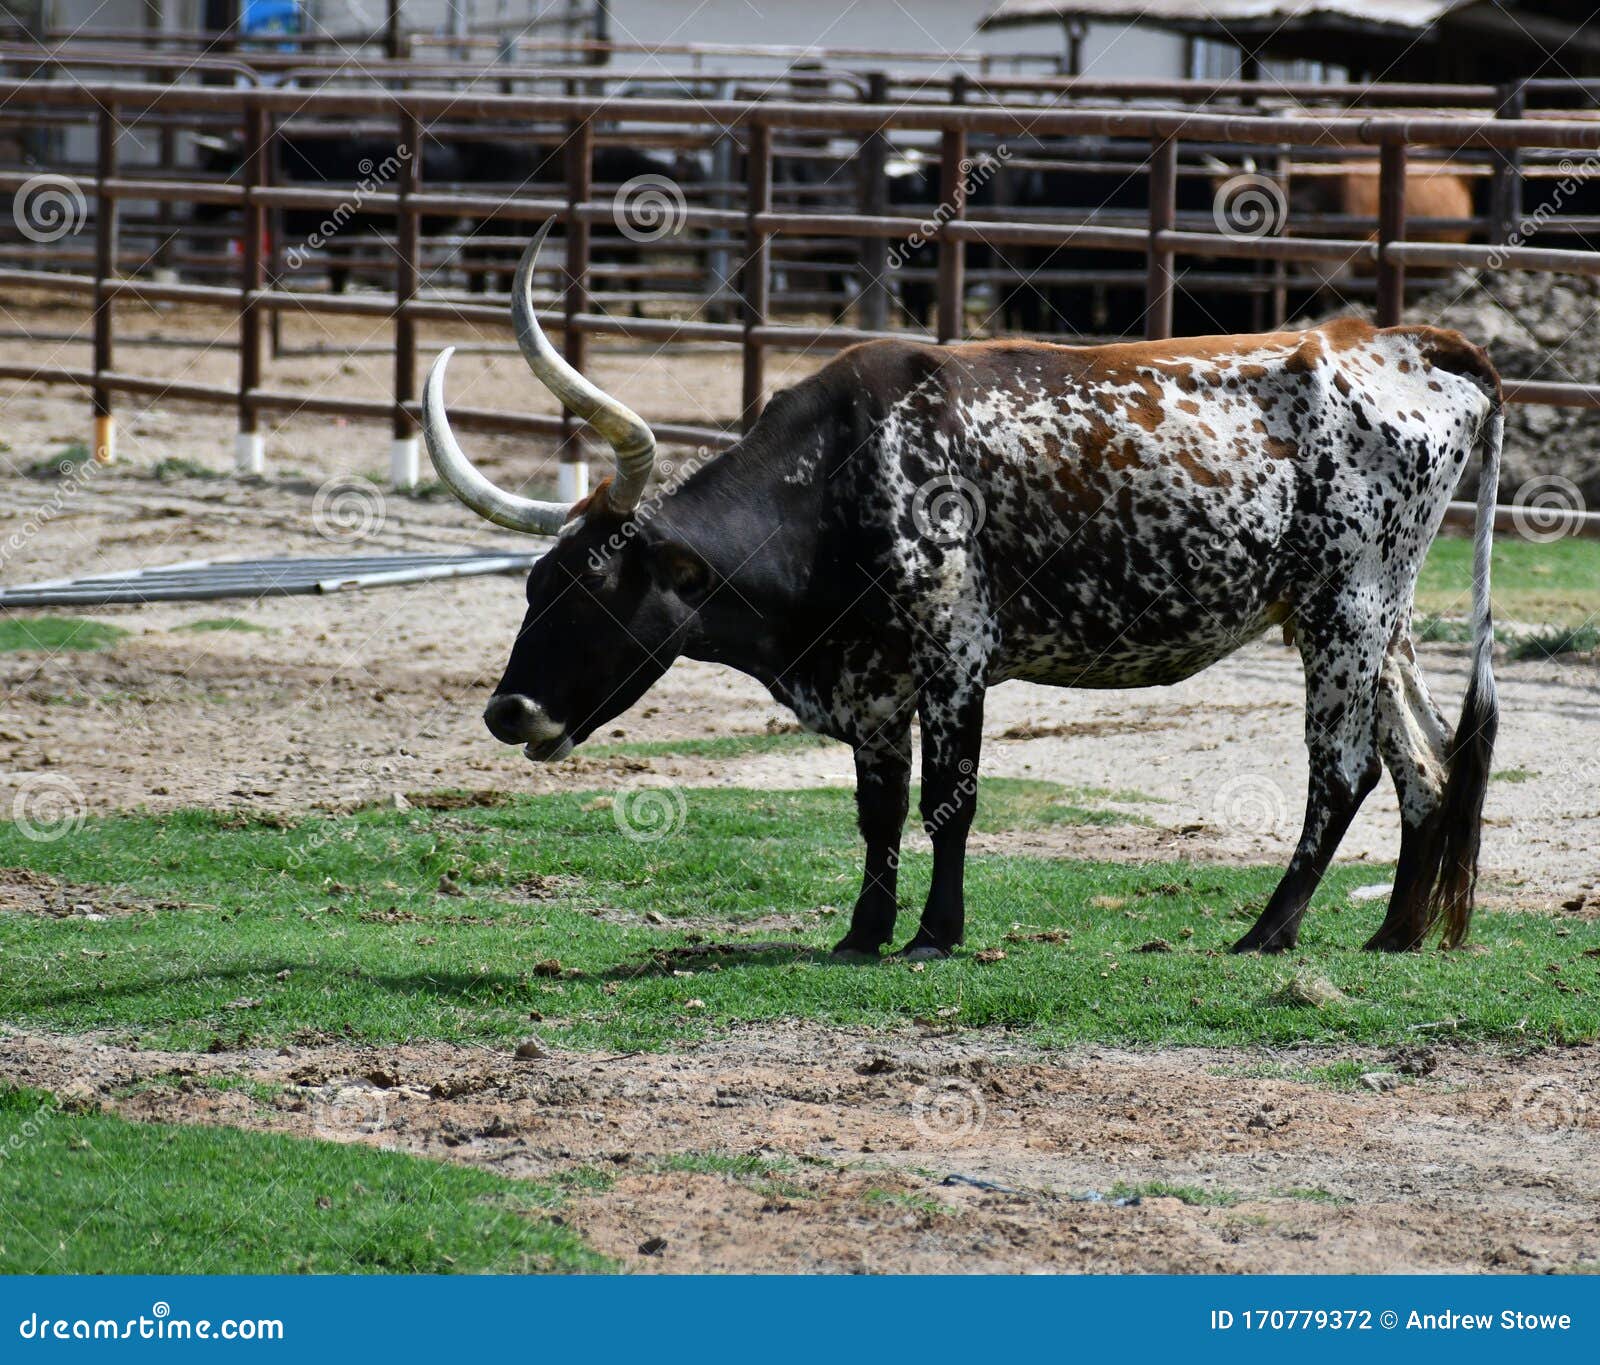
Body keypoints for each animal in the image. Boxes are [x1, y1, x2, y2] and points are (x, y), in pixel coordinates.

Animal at [423, 222, 1502, 960]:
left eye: (601, 588)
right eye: (535, 586)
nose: (508, 712)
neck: (844, 472)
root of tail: (1399, 343)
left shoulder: (954, 655)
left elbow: (948, 800)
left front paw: (936, 934)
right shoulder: (871, 679)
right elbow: (876, 807)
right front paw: (862, 932)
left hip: (1346, 610)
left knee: (1344, 771)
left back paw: (1268, 931)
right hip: (1378, 621)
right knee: (1427, 762)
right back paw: (1394, 934)